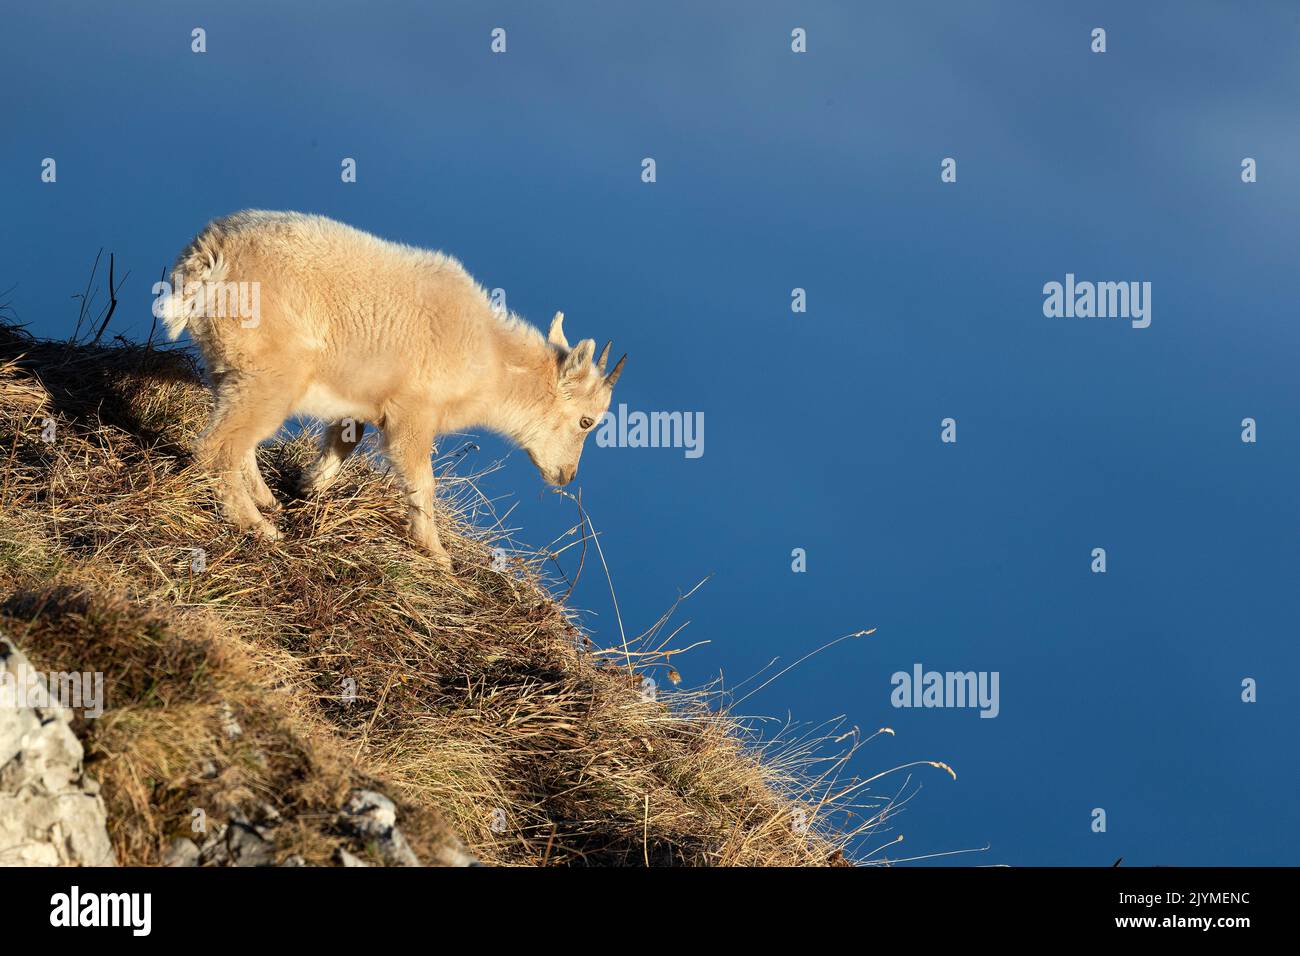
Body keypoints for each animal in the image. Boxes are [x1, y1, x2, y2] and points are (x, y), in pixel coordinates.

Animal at [160, 210, 625, 569]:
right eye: (587, 421)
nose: (565, 476)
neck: (490, 355)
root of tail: (209, 255)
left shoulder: (361, 398)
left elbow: (346, 440)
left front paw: (311, 486)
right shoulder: (414, 411)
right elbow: (421, 479)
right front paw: (436, 553)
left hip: (232, 368)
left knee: (239, 438)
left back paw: (266, 501)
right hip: (271, 375)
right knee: (219, 446)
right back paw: (258, 527)